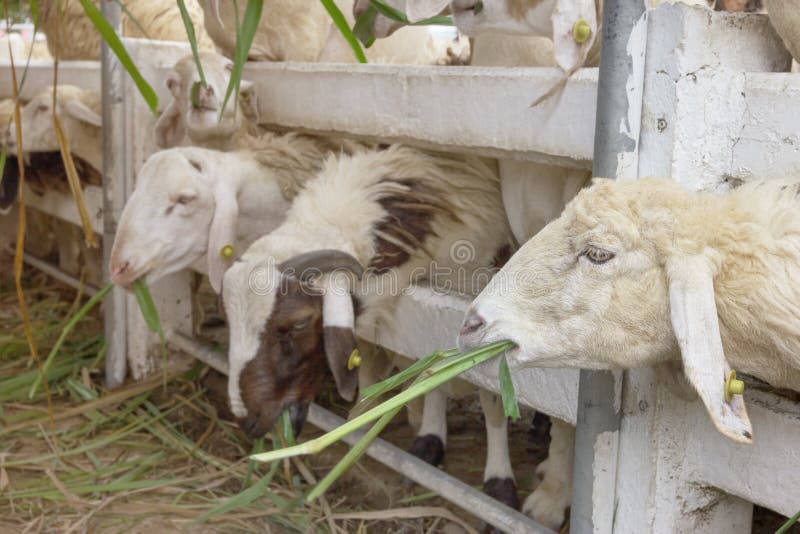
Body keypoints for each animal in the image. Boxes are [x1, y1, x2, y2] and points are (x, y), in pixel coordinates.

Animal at [221, 145, 511, 477]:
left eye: (299, 323)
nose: (247, 422)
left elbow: (490, 393)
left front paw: (499, 478)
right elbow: (424, 369)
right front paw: (424, 437)